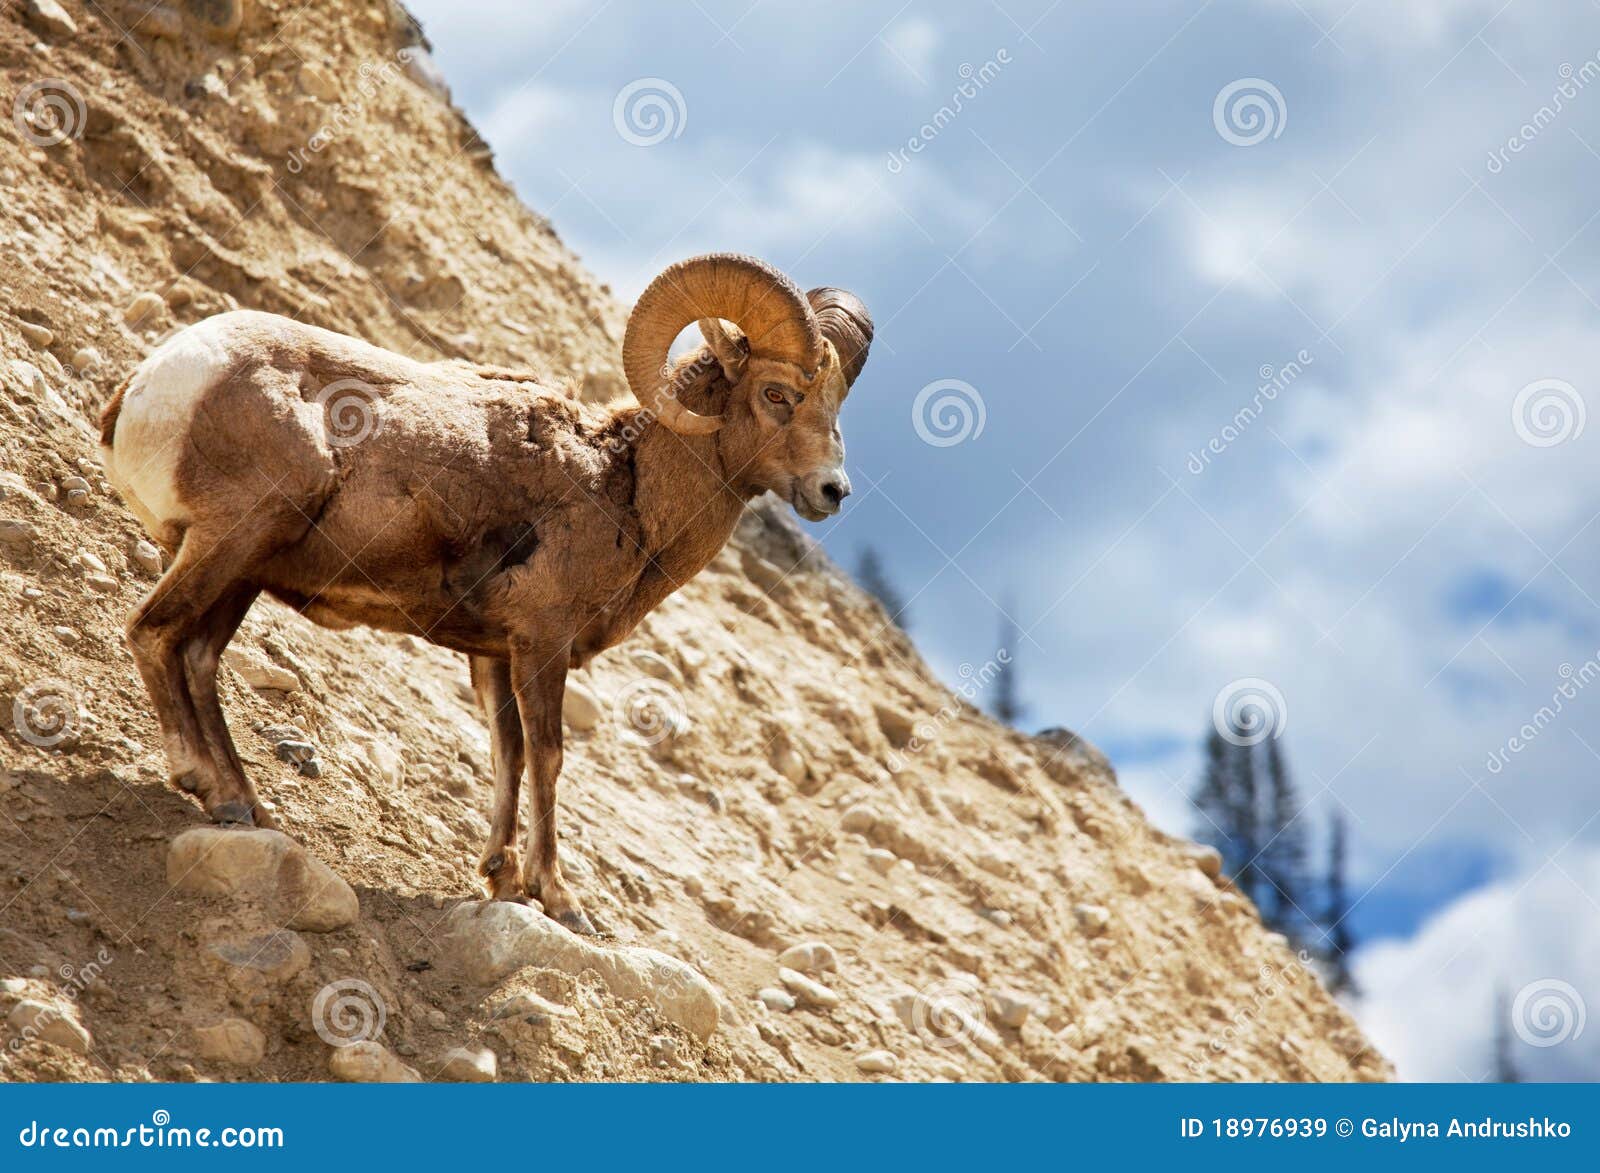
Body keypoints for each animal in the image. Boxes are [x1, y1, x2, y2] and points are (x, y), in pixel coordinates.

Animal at [99, 254, 873, 934]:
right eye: (776, 393)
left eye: (836, 404)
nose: (833, 492)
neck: (623, 487)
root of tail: (149, 384)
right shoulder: (542, 645)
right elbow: (549, 755)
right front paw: (559, 899)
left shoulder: (495, 654)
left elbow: (509, 753)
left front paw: (499, 878)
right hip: (231, 544)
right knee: (152, 632)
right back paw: (204, 783)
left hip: (241, 575)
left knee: (197, 655)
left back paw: (242, 803)